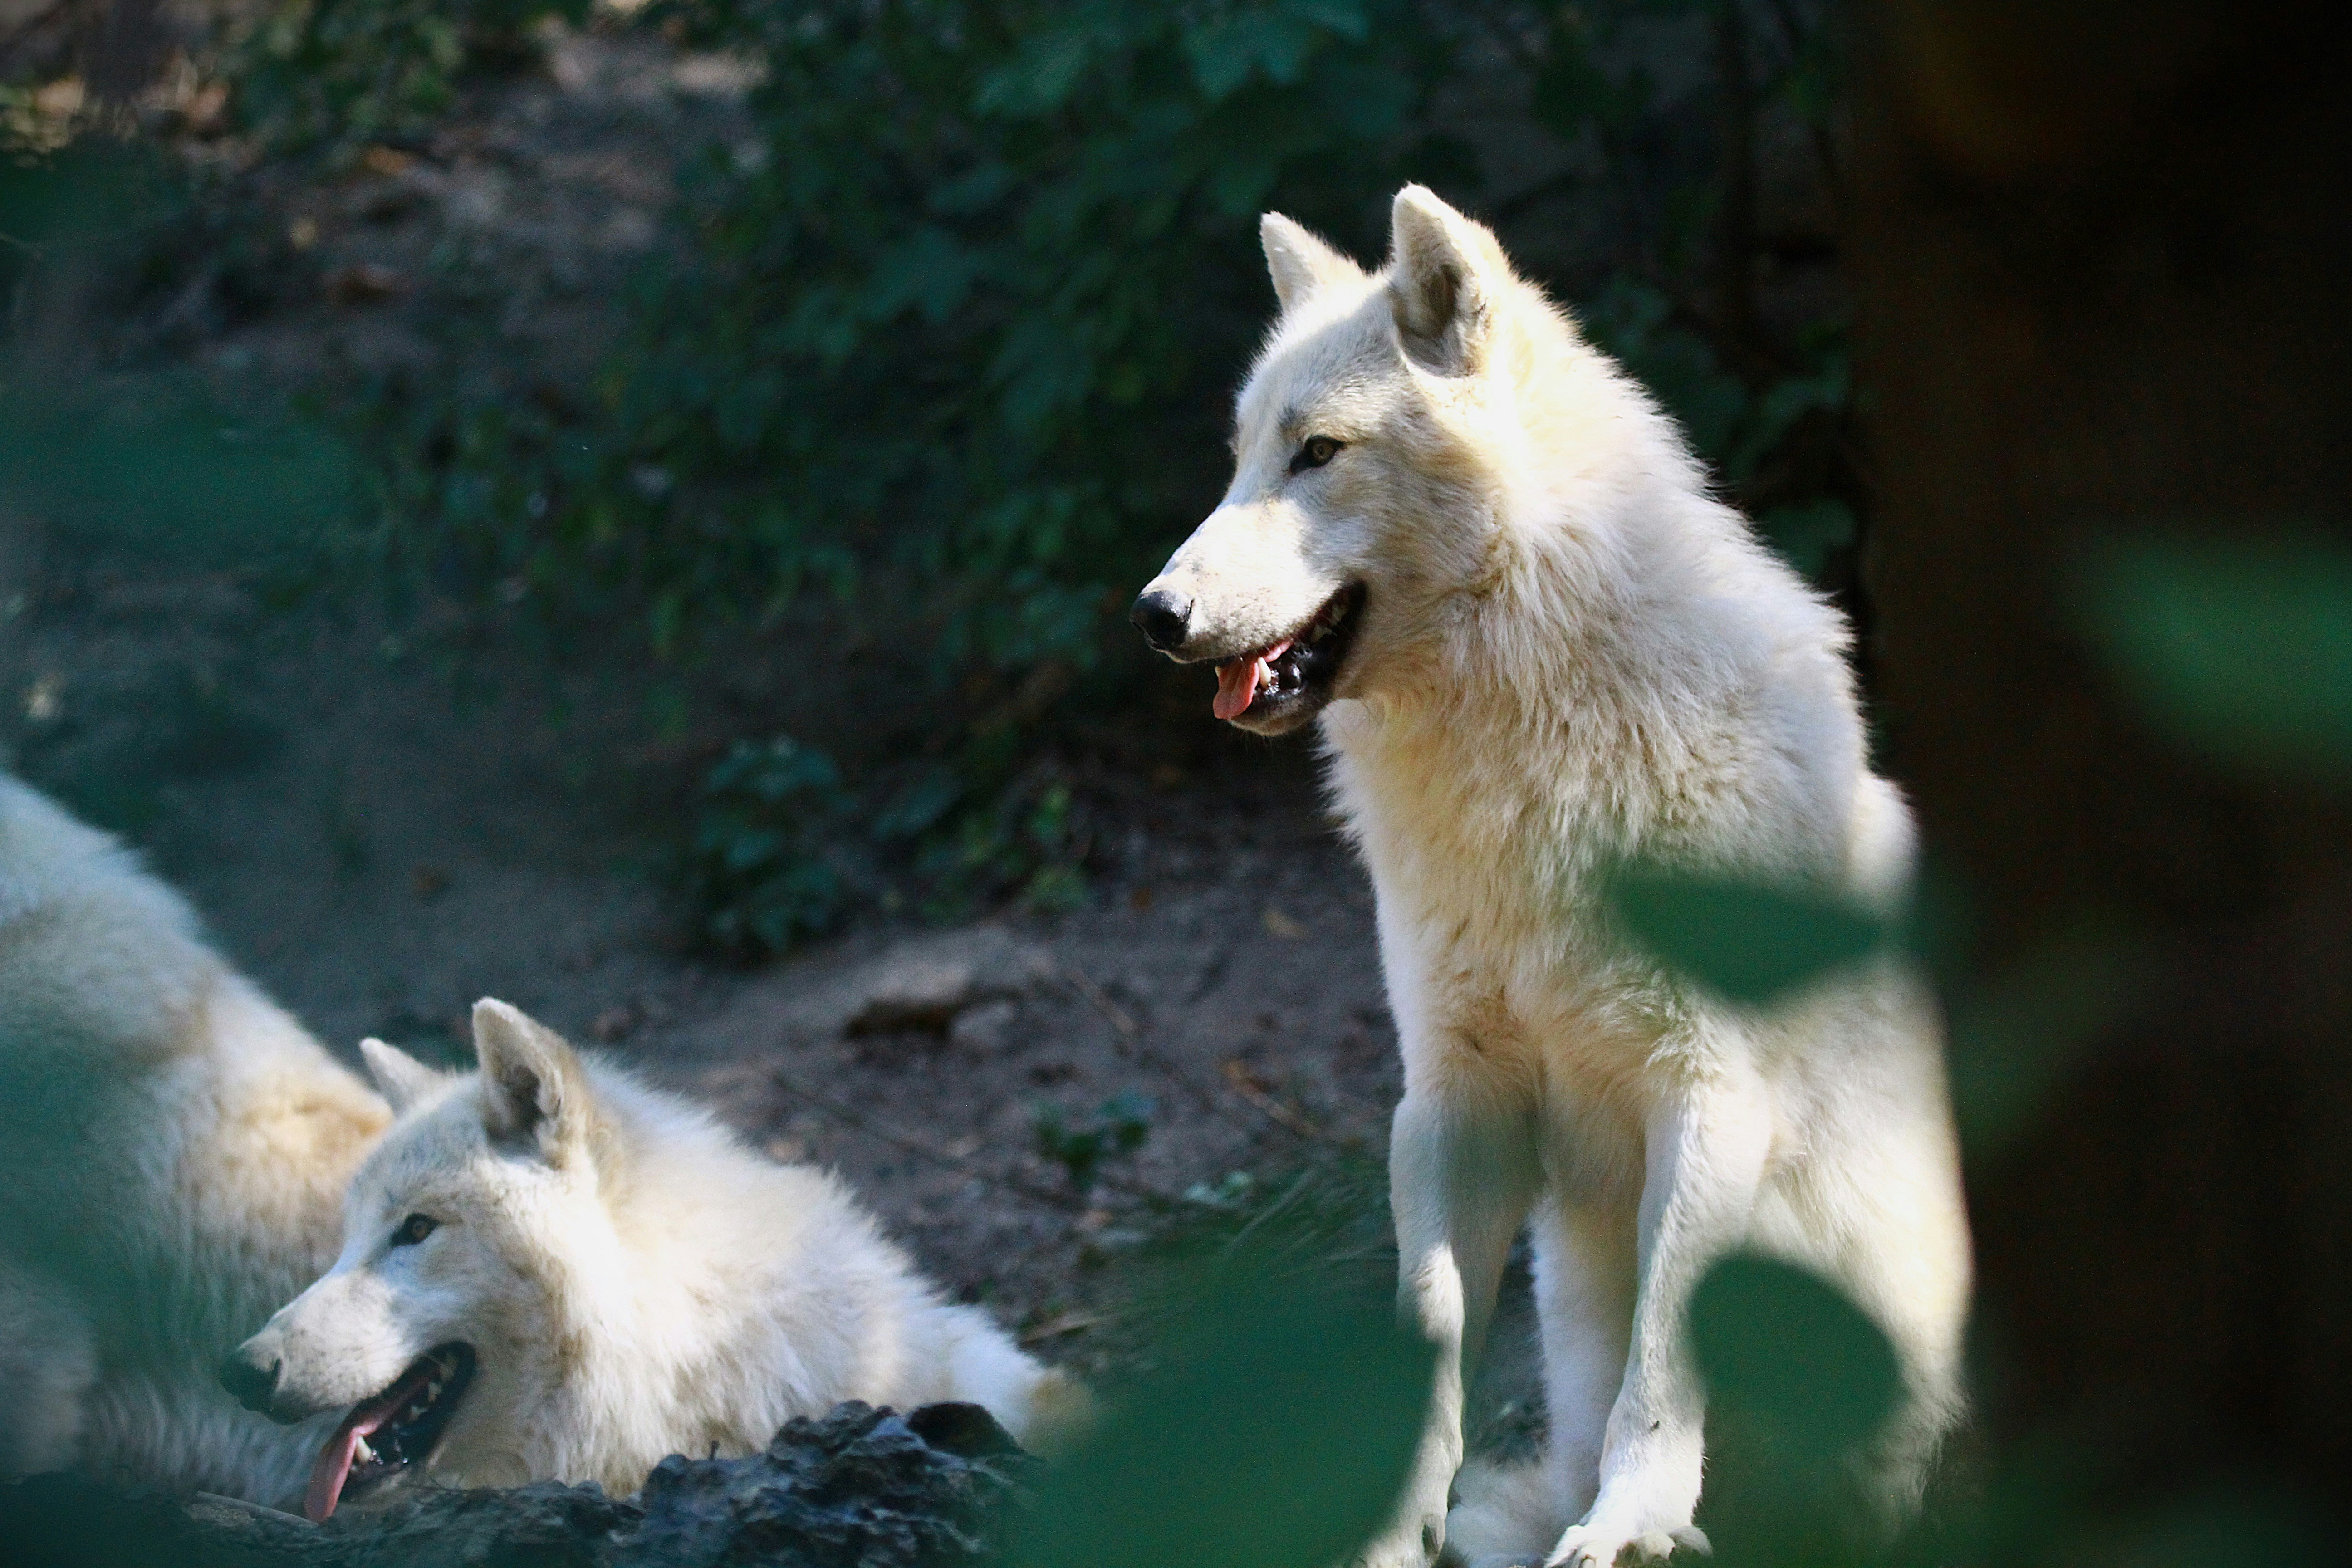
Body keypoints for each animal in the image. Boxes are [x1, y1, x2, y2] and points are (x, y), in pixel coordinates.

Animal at [1131, 187, 1971, 1568]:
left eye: (1318, 453)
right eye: (1243, 456)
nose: (1153, 613)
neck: (1531, 757)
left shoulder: (1710, 1091)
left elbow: (1661, 1366)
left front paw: (1629, 1526)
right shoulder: (1450, 1104)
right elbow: (1426, 1348)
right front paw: (1389, 1535)